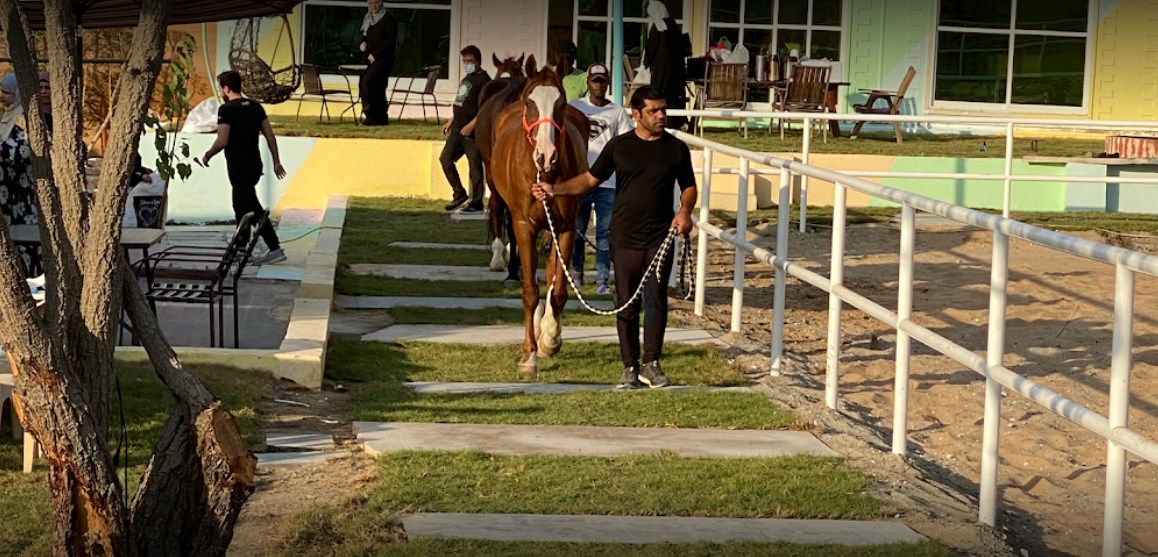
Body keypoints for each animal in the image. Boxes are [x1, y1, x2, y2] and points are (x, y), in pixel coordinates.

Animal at [487, 58, 589, 374]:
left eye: (561, 103)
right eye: (530, 103)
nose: (546, 155)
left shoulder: (565, 228)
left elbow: (558, 290)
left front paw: (550, 339)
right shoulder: (524, 225)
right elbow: (530, 291)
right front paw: (529, 354)